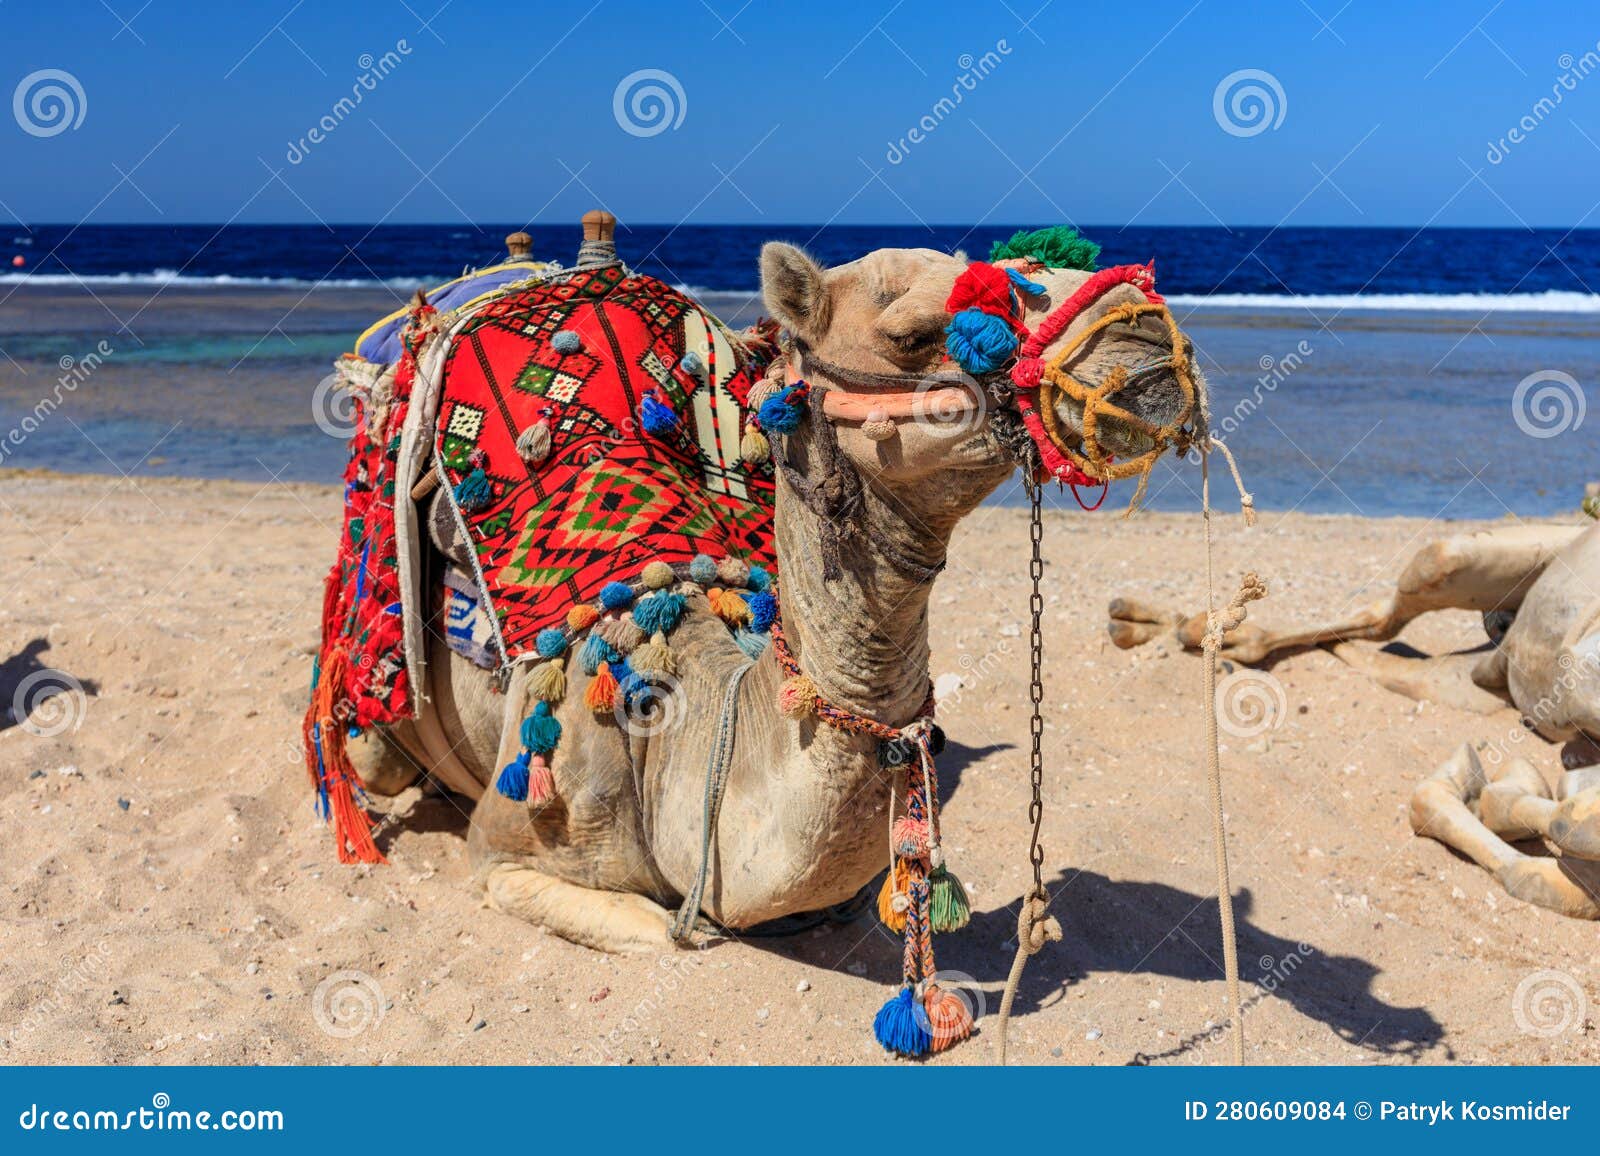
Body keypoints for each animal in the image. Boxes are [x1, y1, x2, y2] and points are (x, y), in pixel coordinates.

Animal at [1107, 518, 1600, 918]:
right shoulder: (1581, 671)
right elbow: (1555, 826)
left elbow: (1552, 868)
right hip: (1453, 562)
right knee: (1390, 611)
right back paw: (1174, 626)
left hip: (1473, 679)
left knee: (1396, 660)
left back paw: (1185, 631)